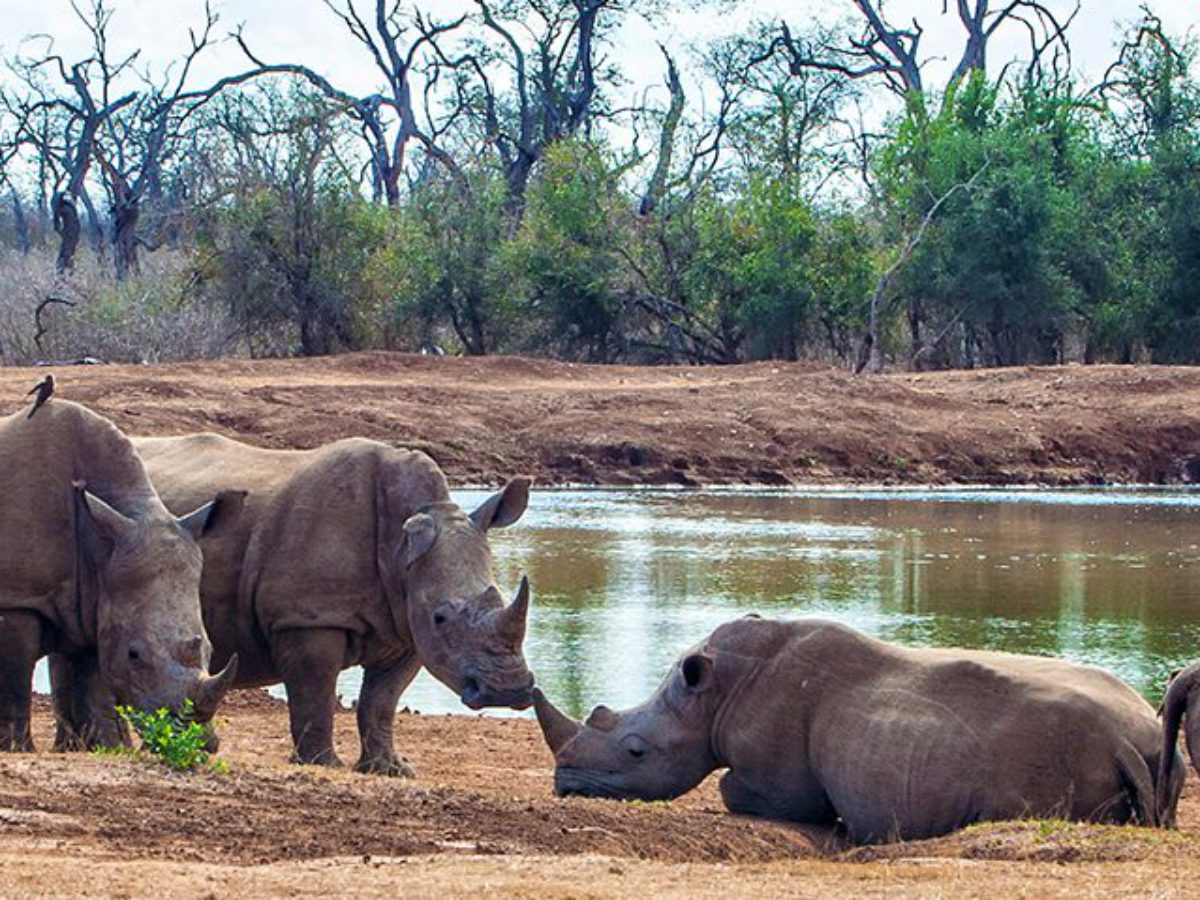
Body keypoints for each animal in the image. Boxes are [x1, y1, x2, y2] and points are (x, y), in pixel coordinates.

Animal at [0, 400, 242, 751]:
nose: (198, 742)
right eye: (134, 654)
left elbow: (90, 682)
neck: (98, 547)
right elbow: (14, 678)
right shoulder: (18, 597)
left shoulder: (93, 601)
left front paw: (105, 747)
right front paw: (17, 748)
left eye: (209, 649)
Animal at [128, 432, 536, 775]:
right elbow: (316, 692)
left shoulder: (406, 626)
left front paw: (388, 770)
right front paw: (323, 764)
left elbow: (381, 700)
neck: (398, 545)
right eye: (441, 617)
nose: (509, 690)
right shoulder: (307, 618)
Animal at [534, 617, 1180, 843]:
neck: (711, 698)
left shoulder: (777, 780)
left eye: (635, 752)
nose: (564, 783)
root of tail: (1131, 739)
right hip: (1156, 747)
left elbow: (733, 789)